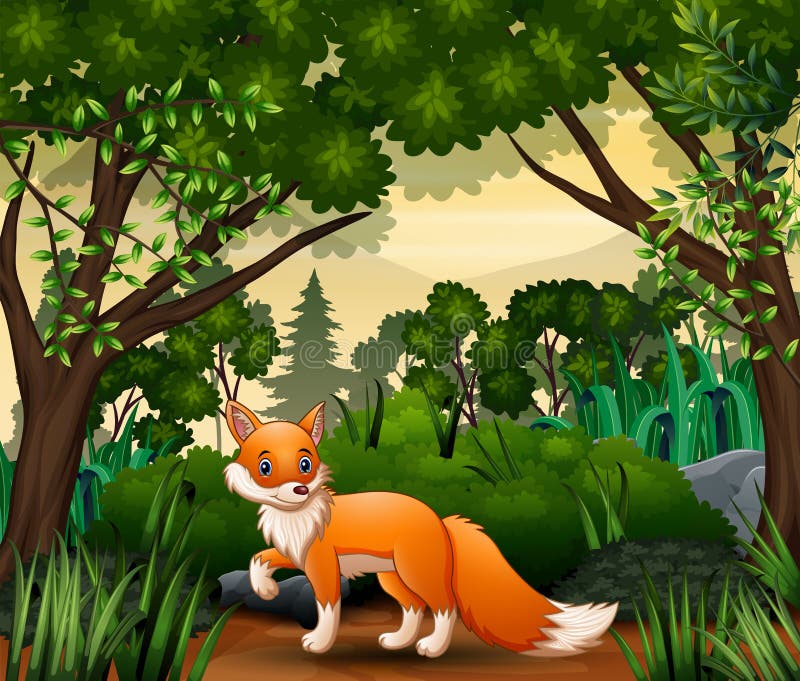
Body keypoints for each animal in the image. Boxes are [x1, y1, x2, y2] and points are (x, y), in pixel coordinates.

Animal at [223, 399, 618, 658]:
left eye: (305, 464)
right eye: (266, 467)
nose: (300, 490)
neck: (299, 515)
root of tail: (440, 519)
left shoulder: (322, 567)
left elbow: (328, 607)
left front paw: (320, 643)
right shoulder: (297, 554)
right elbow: (259, 559)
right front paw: (266, 589)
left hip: (416, 573)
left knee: (445, 607)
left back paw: (432, 647)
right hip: (393, 578)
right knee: (414, 607)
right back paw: (400, 642)